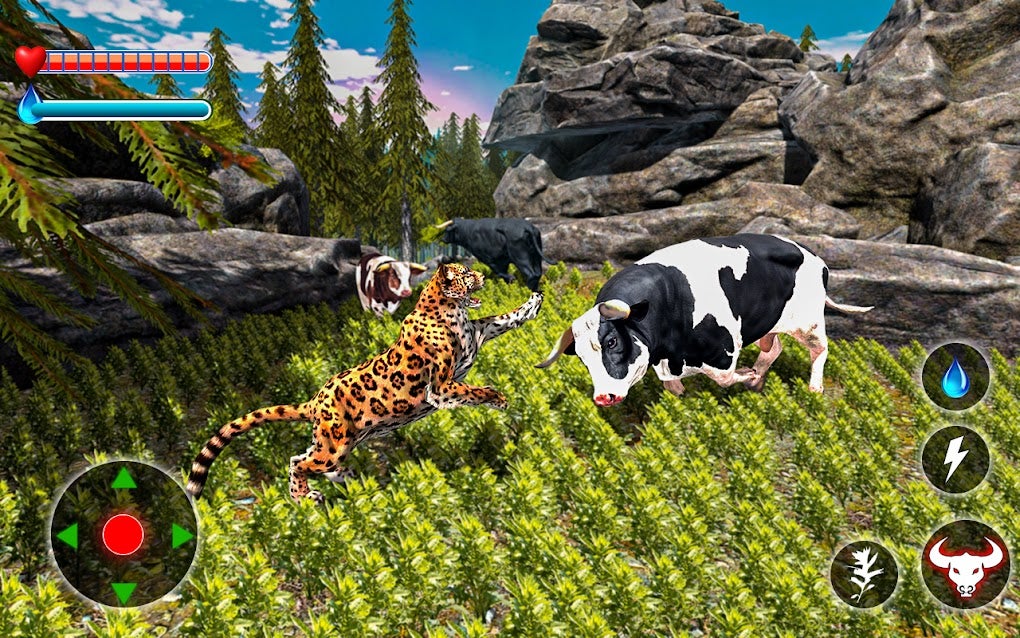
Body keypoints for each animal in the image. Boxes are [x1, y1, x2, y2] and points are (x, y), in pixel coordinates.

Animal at [537, 234, 873, 405]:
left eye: (611, 342)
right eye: (581, 358)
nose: (603, 398)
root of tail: (813, 256)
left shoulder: (725, 346)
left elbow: (724, 377)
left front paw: (746, 375)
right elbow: (671, 384)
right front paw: (682, 396)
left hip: (808, 322)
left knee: (820, 350)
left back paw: (814, 389)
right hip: (768, 322)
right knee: (773, 348)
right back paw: (759, 380)